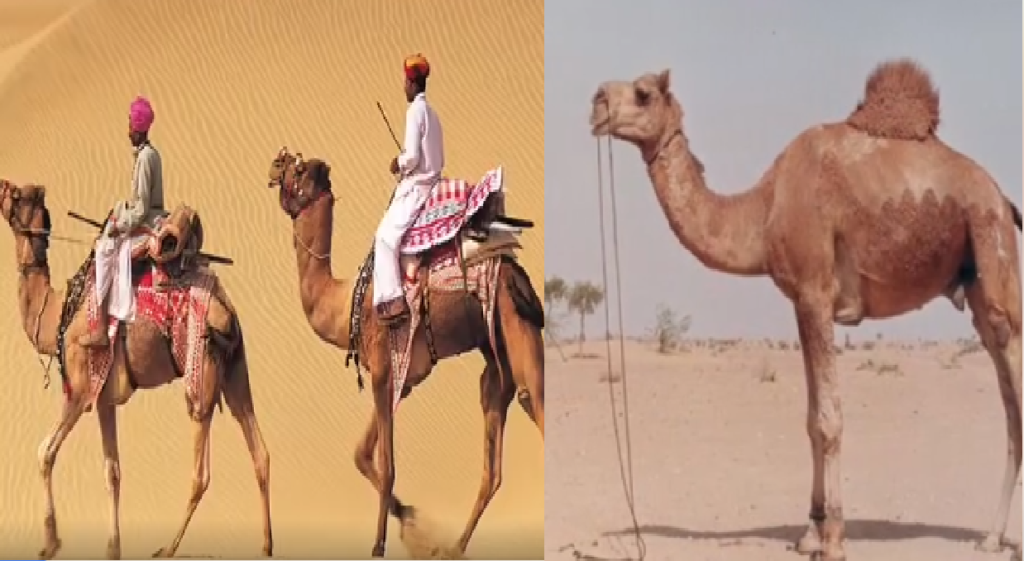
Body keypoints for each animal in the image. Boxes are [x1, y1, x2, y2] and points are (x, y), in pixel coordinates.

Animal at [0, 181, 272, 559]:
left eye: (16, 195)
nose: (2, 185)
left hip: (201, 370)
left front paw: (51, 542)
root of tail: (226, 314)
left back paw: (169, 548)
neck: (58, 314)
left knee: (201, 472)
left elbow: (44, 452)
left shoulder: (79, 388)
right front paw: (113, 546)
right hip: (237, 371)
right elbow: (112, 472)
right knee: (259, 449)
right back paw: (266, 544)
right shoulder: (102, 398)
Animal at [265, 148, 545, 558]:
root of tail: (515, 271)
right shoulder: (400, 380)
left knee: (534, 404)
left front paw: (379, 544)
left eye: (298, 168)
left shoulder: (384, 370)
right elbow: (361, 454)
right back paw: (454, 546)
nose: (275, 164)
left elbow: (387, 465)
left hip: (517, 333)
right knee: (492, 467)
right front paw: (412, 520)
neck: (342, 303)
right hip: (497, 363)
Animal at [589, 59, 1022, 561]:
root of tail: (1003, 198)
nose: (596, 102)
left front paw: (833, 539)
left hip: (991, 237)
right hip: (977, 280)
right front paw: (810, 532)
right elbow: (812, 418)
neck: (763, 210)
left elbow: (830, 418)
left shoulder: (816, 292)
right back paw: (991, 536)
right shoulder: (800, 302)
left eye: (643, 94)